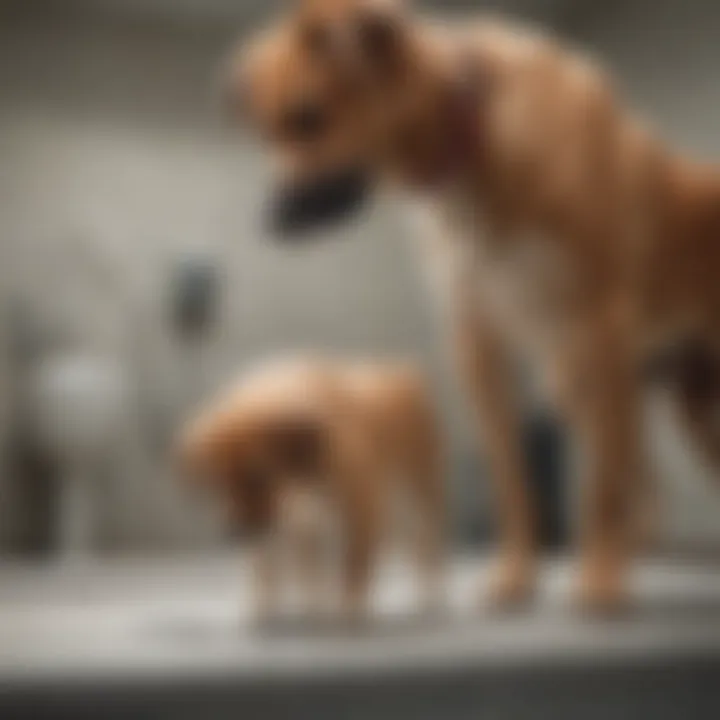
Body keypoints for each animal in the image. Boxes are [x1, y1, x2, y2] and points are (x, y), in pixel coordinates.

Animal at [179, 358, 444, 620]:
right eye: (218, 483)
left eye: (260, 475)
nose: (235, 533)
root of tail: (402, 373)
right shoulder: (291, 526)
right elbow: (273, 566)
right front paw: (271, 604)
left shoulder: (360, 504)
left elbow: (354, 562)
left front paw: (350, 608)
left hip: (418, 493)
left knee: (426, 538)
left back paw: (429, 593)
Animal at [228, 0, 720, 612]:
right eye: (266, 128)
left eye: (308, 117)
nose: (269, 224)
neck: (471, 136)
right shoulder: (477, 341)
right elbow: (512, 476)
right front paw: (517, 576)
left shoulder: (599, 321)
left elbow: (601, 488)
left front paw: (602, 578)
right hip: (605, 389)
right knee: (641, 475)